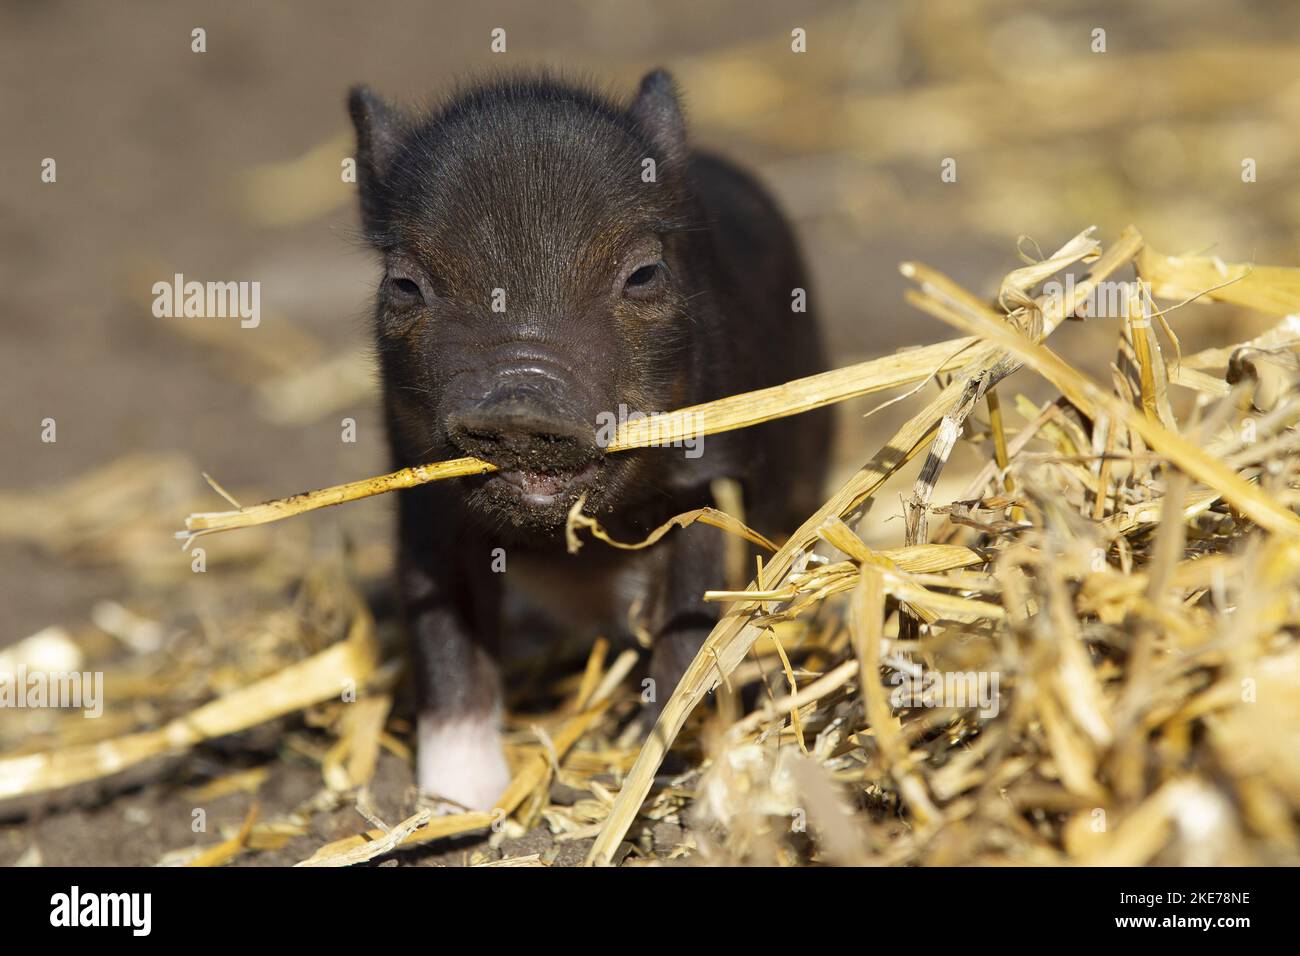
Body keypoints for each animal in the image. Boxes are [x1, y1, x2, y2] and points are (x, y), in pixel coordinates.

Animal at [348, 70, 830, 810]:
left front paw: (671, 761)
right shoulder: (423, 504)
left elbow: (695, 629)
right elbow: (445, 641)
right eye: (404, 284)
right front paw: (461, 803)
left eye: (644, 274)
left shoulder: (714, 480)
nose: (521, 401)